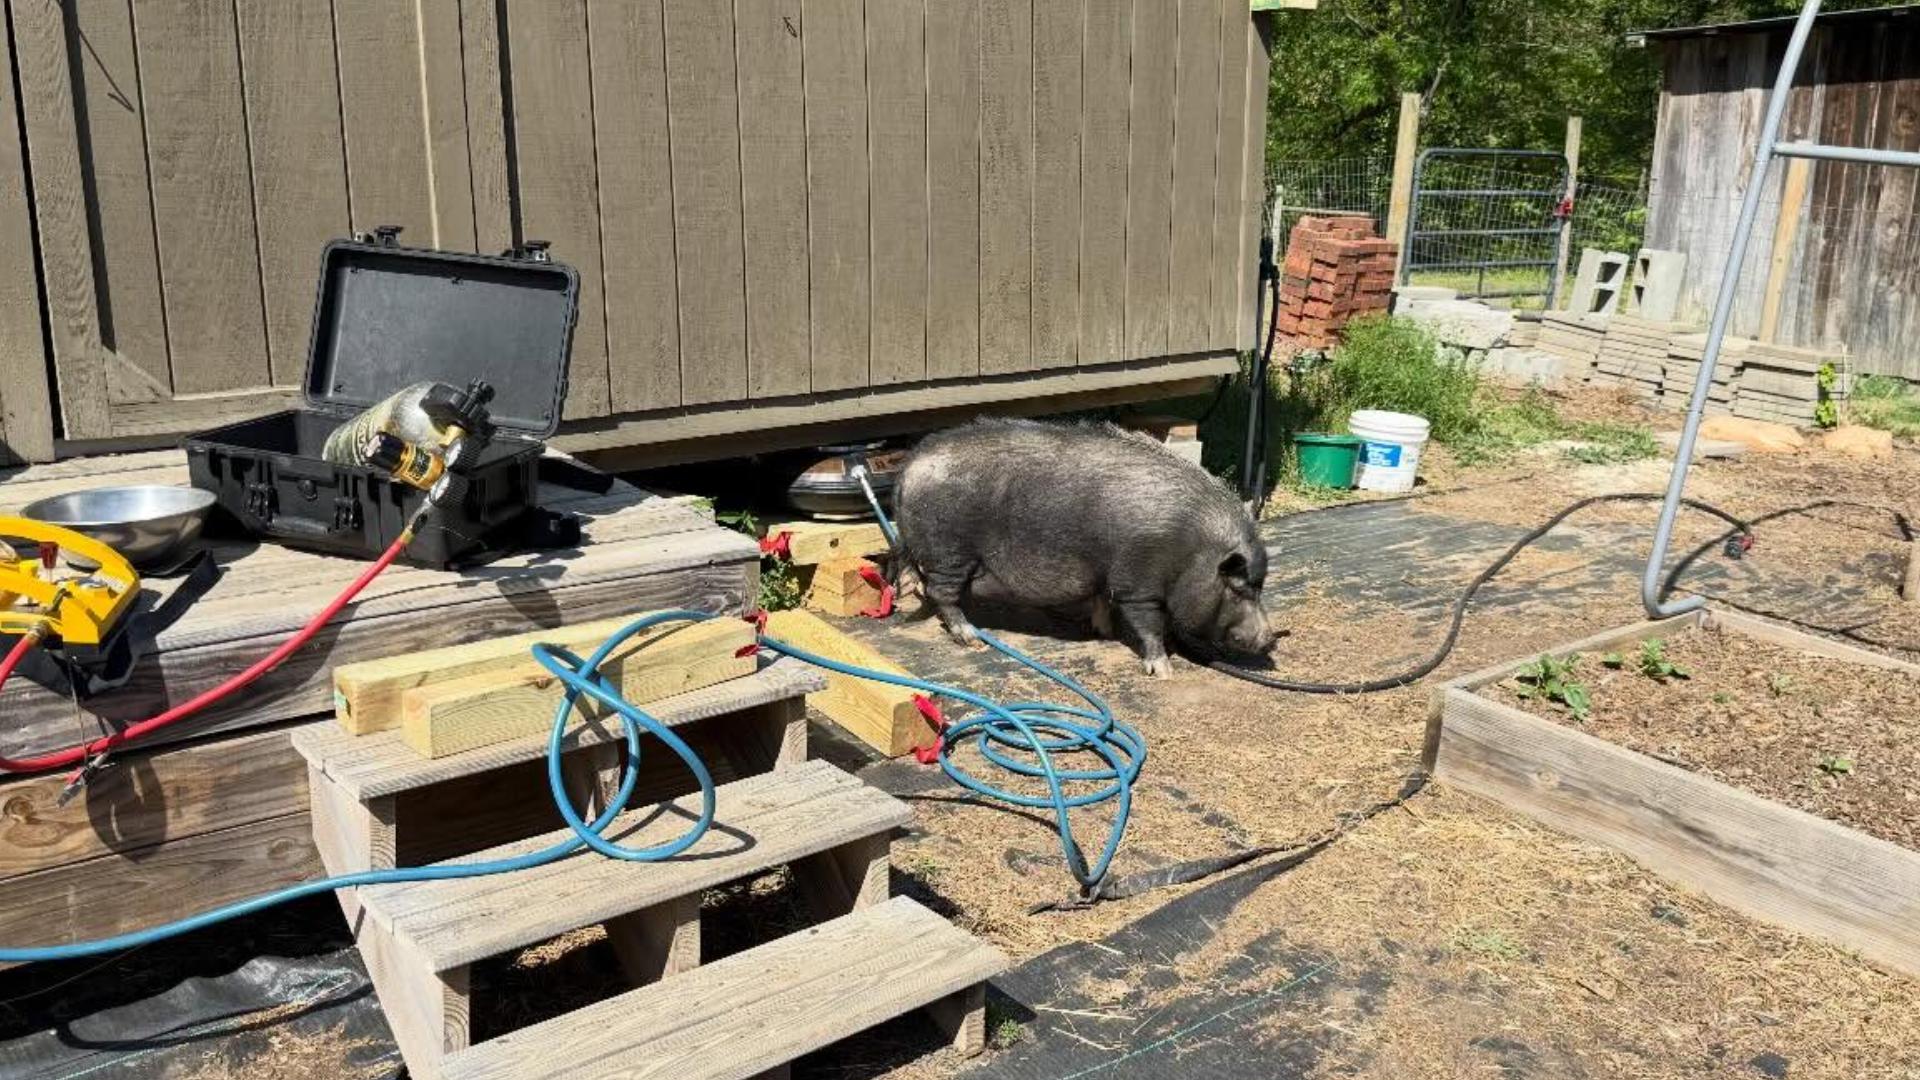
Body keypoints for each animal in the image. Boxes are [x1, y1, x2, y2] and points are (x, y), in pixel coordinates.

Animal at [891, 418, 1278, 677]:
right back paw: (971, 638)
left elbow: (1102, 599)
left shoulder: (1106, 574)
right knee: (942, 593)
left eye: (1260, 586)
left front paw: (1103, 632)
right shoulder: (1138, 584)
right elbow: (1148, 623)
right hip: (949, 552)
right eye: (1239, 587)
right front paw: (1164, 671)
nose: (1270, 640)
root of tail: (908, 468)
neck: (1191, 550)